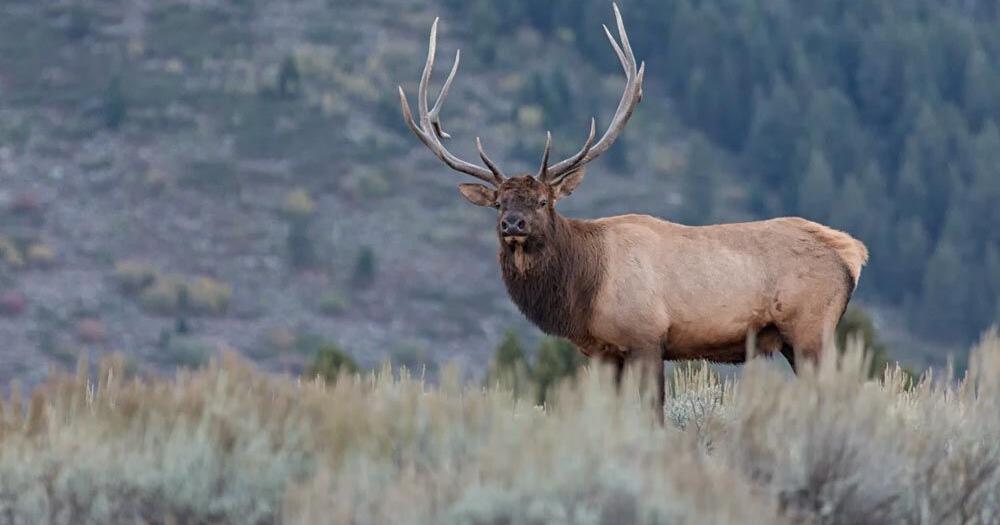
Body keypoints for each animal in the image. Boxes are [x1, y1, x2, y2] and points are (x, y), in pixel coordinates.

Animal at [398, 4, 868, 421]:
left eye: (544, 201)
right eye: (499, 202)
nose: (513, 223)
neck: (584, 288)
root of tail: (852, 253)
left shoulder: (646, 337)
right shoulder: (602, 352)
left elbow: (653, 414)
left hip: (810, 328)